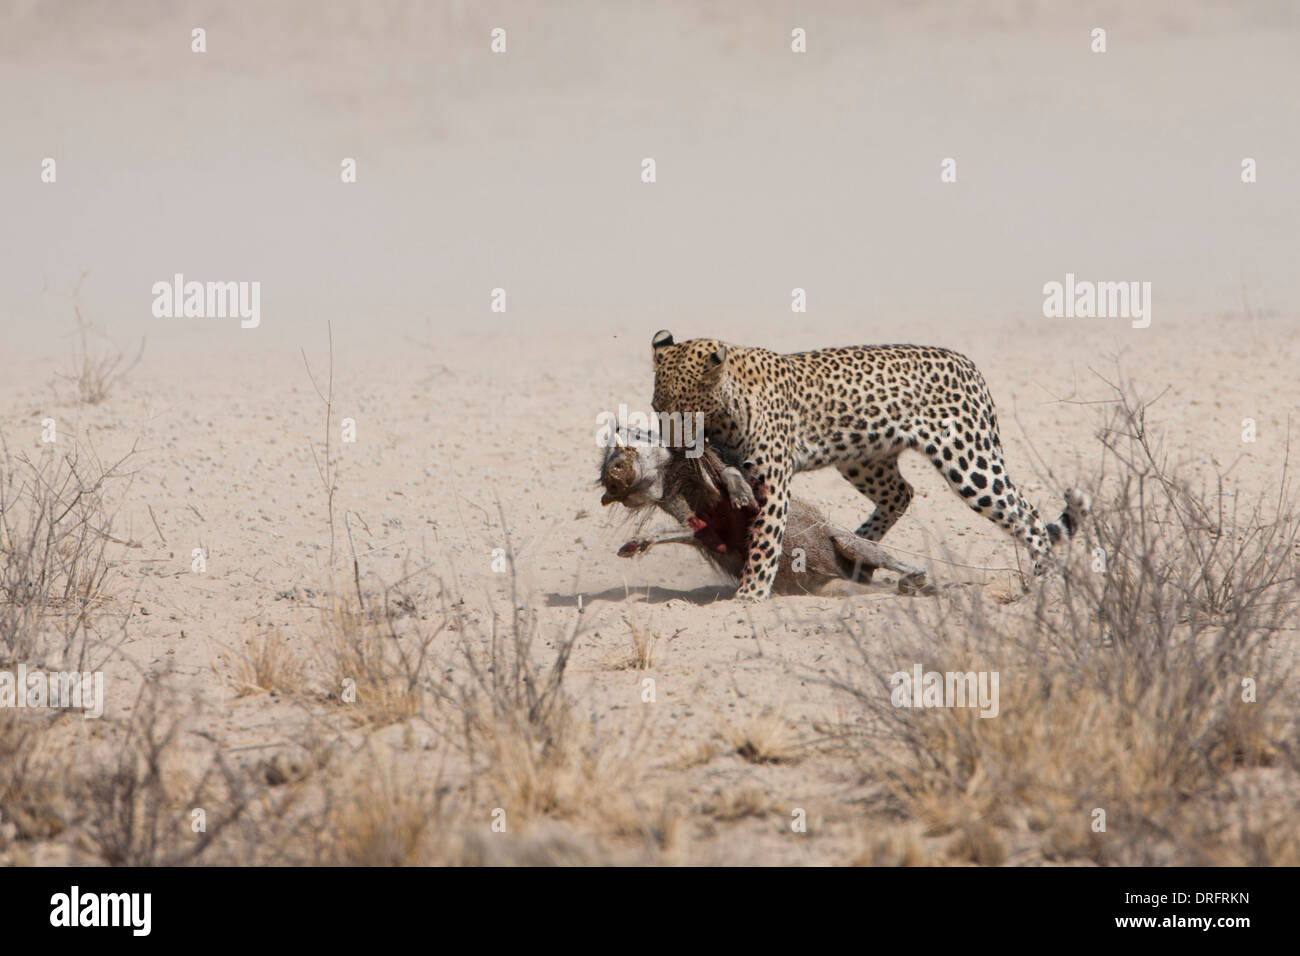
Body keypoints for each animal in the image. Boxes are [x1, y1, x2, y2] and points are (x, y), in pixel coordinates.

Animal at [649, 330, 1089, 601]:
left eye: (684, 409)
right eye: (657, 407)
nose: (671, 444)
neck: (726, 411)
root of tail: (968, 364)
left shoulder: (773, 479)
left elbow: (765, 541)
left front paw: (750, 594)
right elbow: (728, 478)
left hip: (967, 460)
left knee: (1026, 513)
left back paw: (1042, 581)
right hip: (865, 459)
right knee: (901, 494)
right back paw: (858, 551)